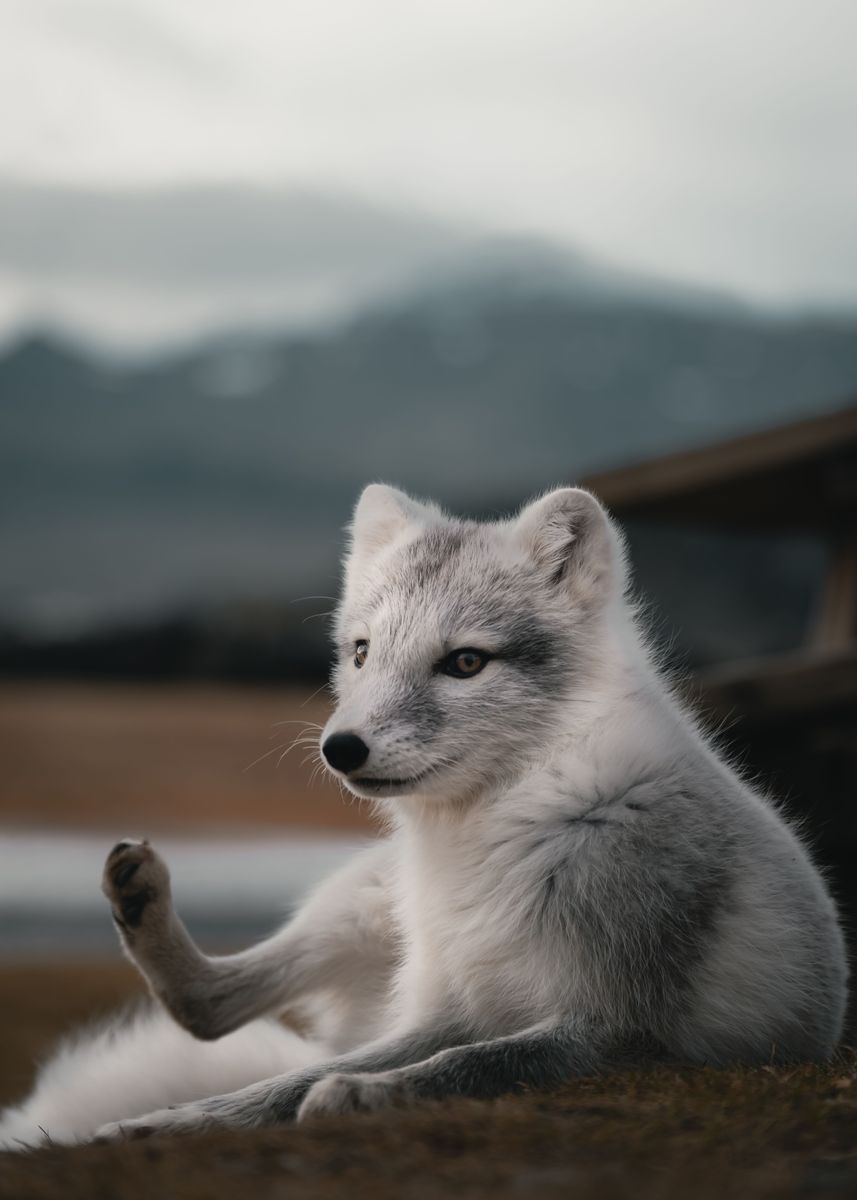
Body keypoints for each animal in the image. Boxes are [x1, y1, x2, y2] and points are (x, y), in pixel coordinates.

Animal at [0, 484, 848, 1148]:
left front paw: (367, 1096)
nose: (341, 748)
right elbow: (292, 1082)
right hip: (366, 897)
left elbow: (466, 1066)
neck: (509, 825)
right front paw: (178, 1121)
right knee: (214, 1010)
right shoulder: (450, 1008)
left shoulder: (624, 1032)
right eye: (361, 652)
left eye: (465, 662)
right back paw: (137, 904)